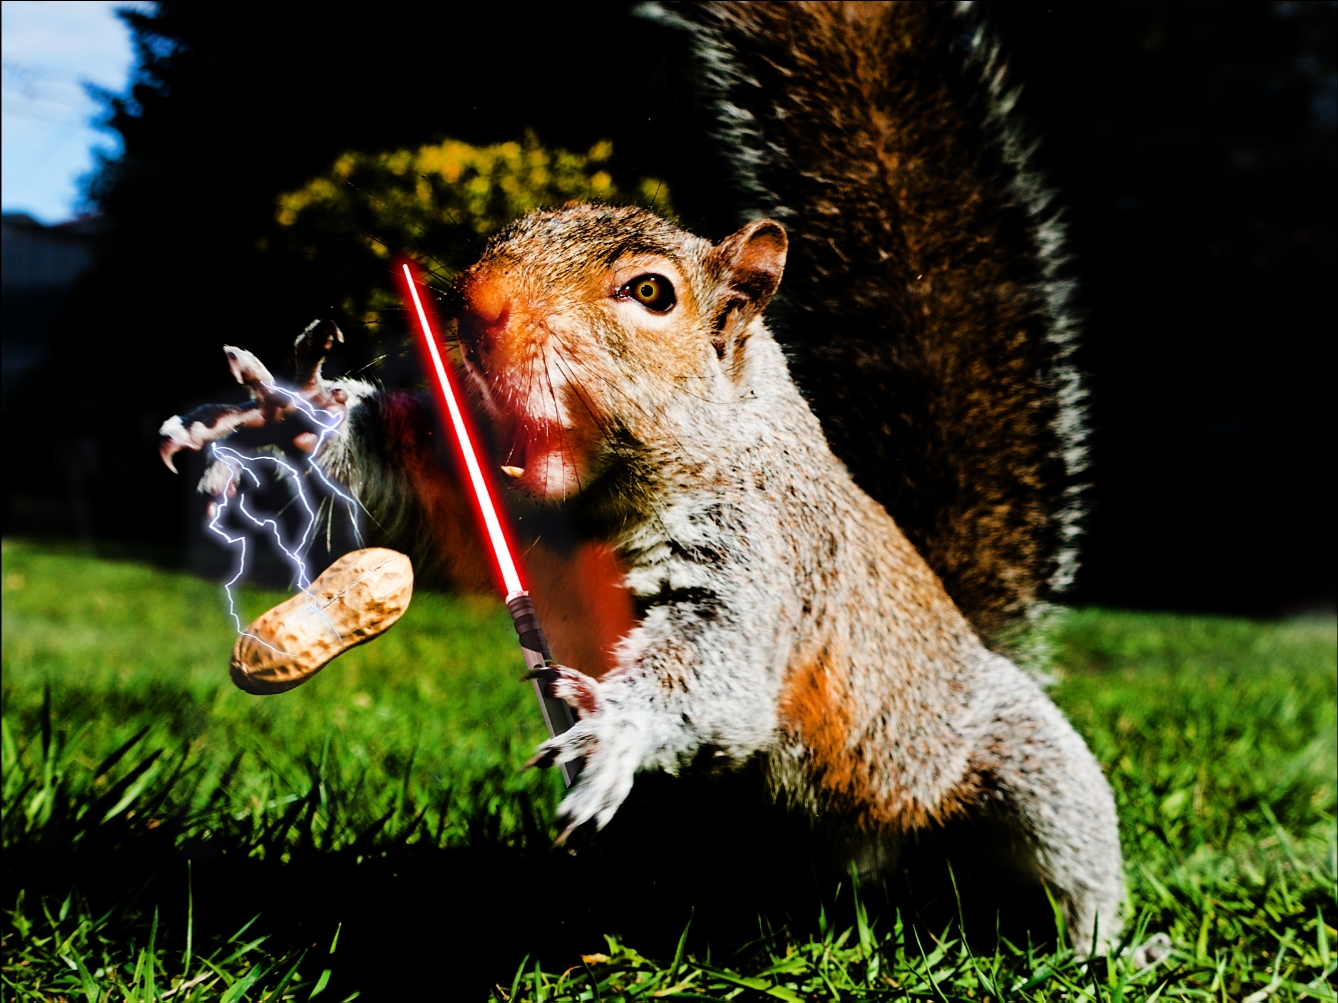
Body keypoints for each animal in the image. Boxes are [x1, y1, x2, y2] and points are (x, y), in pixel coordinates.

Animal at [159, 2, 1122, 949]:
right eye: (510, 232)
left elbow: (719, 667)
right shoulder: (487, 497)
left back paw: (1100, 943)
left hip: (1022, 771)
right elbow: (409, 469)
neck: (594, 506)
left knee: (1072, 861)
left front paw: (617, 724)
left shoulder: (761, 553)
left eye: (652, 294)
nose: (474, 304)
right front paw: (290, 414)